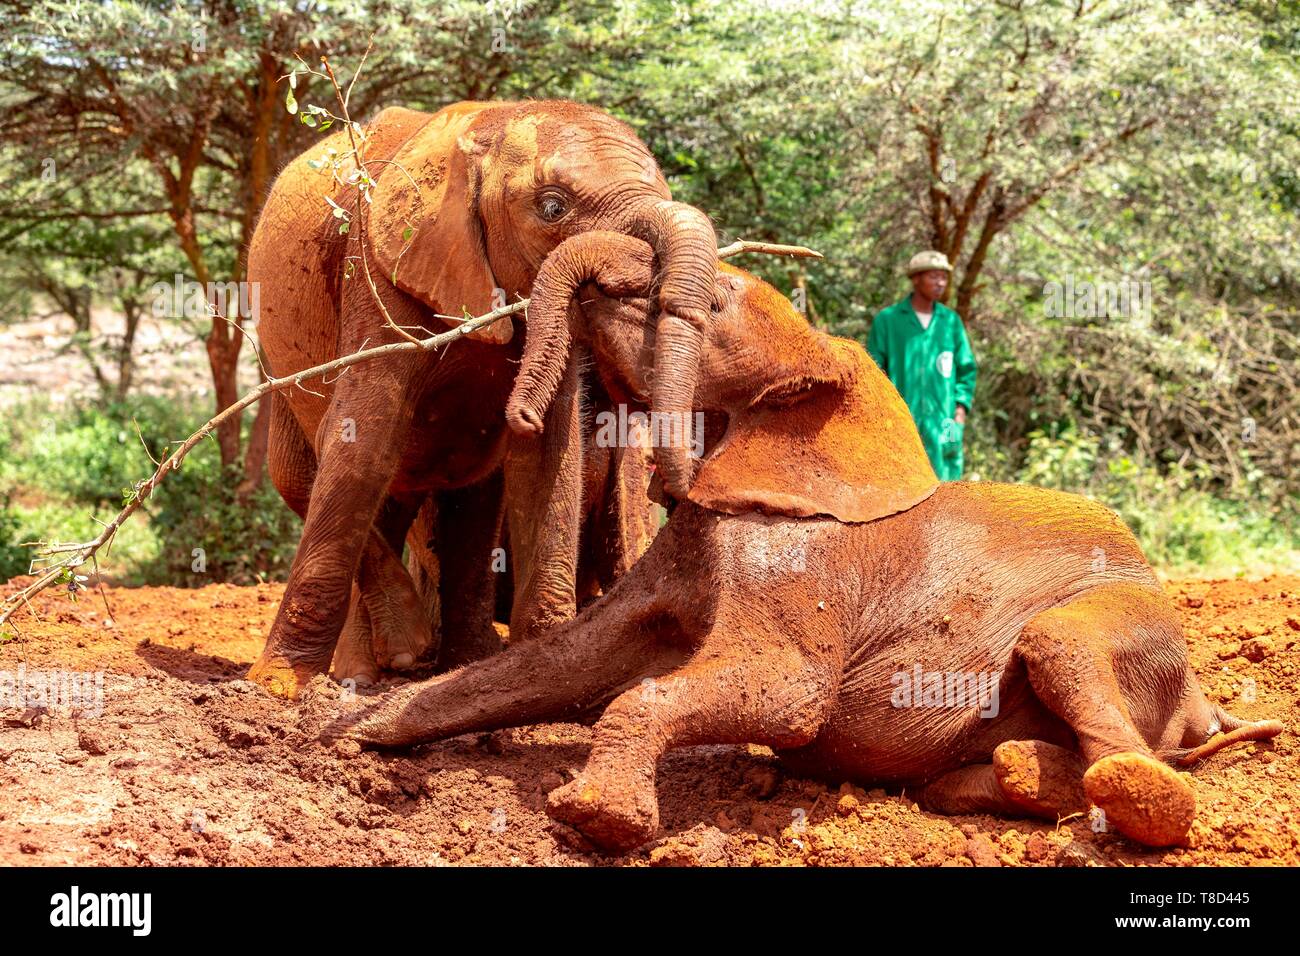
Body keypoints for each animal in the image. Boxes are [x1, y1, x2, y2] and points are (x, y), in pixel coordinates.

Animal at [245, 101, 718, 698]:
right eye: (552, 207)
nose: (676, 486)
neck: (491, 120)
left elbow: (548, 453)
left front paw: (542, 668)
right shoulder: (379, 275)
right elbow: (362, 434)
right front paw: (277, 688)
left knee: (462, 497)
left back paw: (460, 660)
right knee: (309, 478)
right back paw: (389, 660)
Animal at [317, 232, 1284, 853]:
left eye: (710, 303)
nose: (519, 414)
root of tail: (1203, 700)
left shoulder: (798, 560)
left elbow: (776, 699)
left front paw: (597, 820)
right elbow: (569, 663)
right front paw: (350, 735)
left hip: (1124, 624)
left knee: (1073, 660)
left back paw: (1127, 795)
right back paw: (1003, 775)